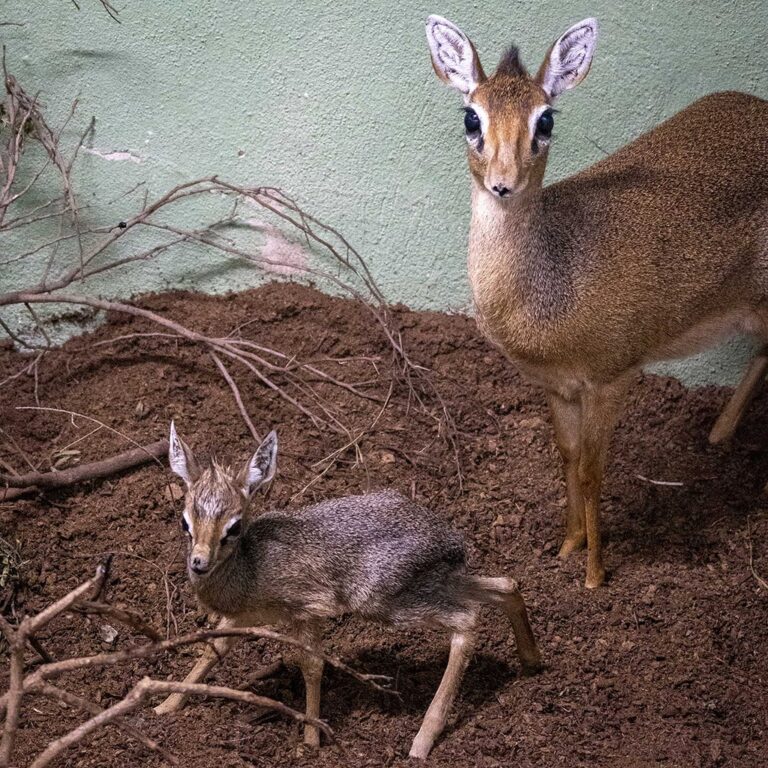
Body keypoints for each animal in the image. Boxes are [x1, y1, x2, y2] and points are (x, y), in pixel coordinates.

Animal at [153, 423, 542, 759]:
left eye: (233, 527)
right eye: (184, 521)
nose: (199, 562)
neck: (249, 567)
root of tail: (453, 543)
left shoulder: (308, 610)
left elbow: (312, 666)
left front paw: (311, 738)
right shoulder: (247, 615)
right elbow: (212, 649)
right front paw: (164, 705)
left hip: (384, 602)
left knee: (467, 620)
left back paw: (422, 741)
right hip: (437, 582)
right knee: (505, 585)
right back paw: (532, 662)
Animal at [425, 15, 768, 588]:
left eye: (545, 120)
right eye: (472, 117)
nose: (502, 184)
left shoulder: (613, 373)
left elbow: (592, 469)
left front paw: (594, 574)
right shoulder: (557, 385)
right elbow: (566, 457)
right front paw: (567, 545)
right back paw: (719, 434)